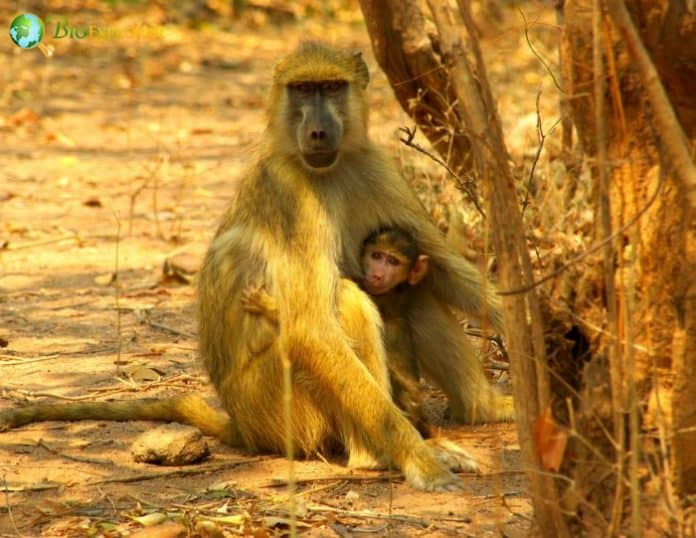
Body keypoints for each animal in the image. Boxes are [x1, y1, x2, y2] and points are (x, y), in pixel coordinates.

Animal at [0, 43, 509, 490]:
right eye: (302, 89)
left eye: (332, 87)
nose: (318, 132)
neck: (325, 169)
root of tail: (242, 426)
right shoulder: (289, 194)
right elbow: (311, 329)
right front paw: (420, 459)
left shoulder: (374, 165)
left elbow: (441, 267)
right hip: (279, 410)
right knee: (348, 300)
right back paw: (374, 456)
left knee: (416, 294)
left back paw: (484, 409)